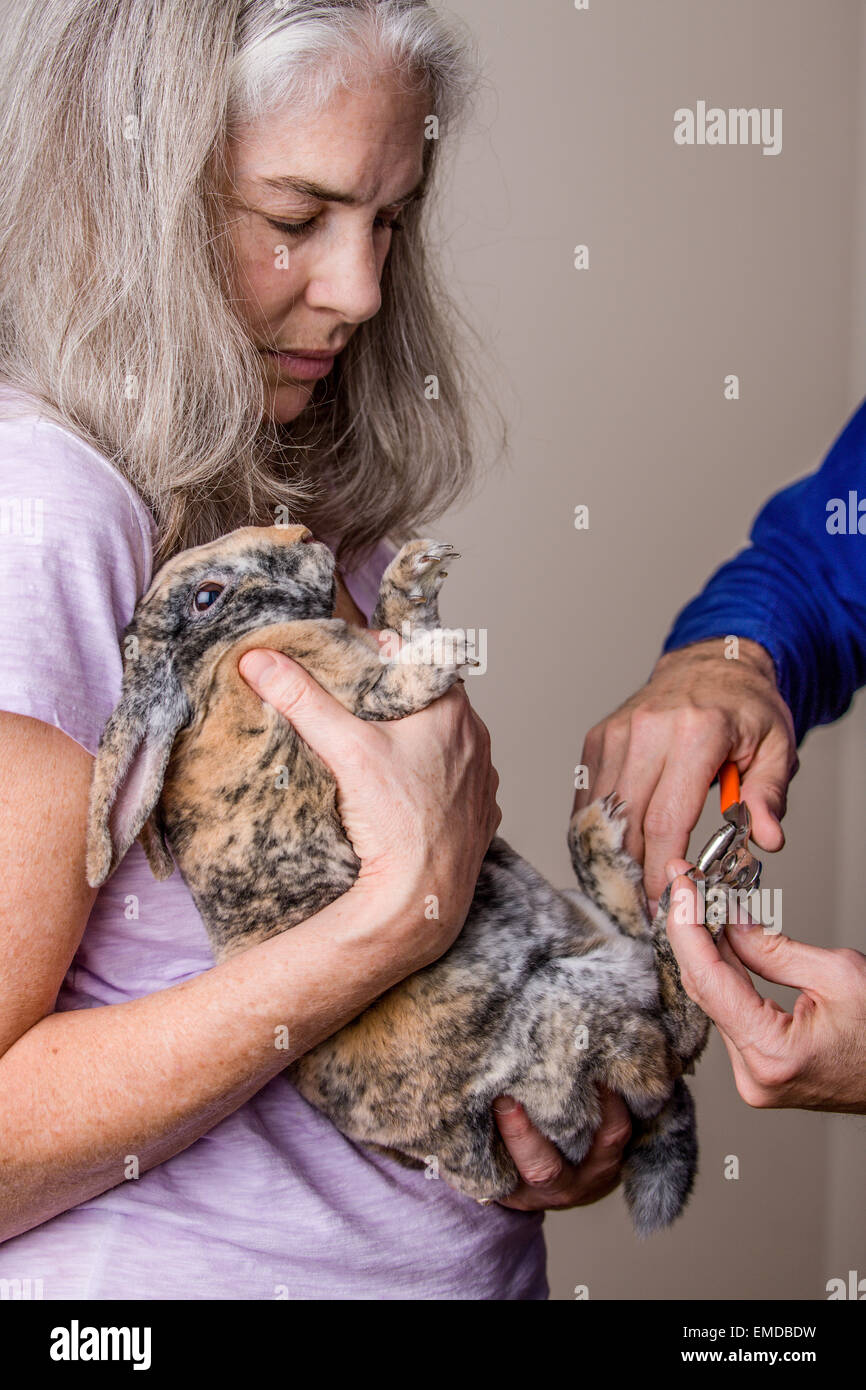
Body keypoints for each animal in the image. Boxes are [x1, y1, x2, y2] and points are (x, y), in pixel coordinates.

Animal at [86, 523, 716, 1235]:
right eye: (205, 595)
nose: (301, 533)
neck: (216, 662)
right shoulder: (330, 681)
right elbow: (384, 686)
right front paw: (450, 649)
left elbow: (399, 626)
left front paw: (415, 573)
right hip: (578, 1007)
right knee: (675, 1037)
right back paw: (682, 898)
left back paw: (606, 841)